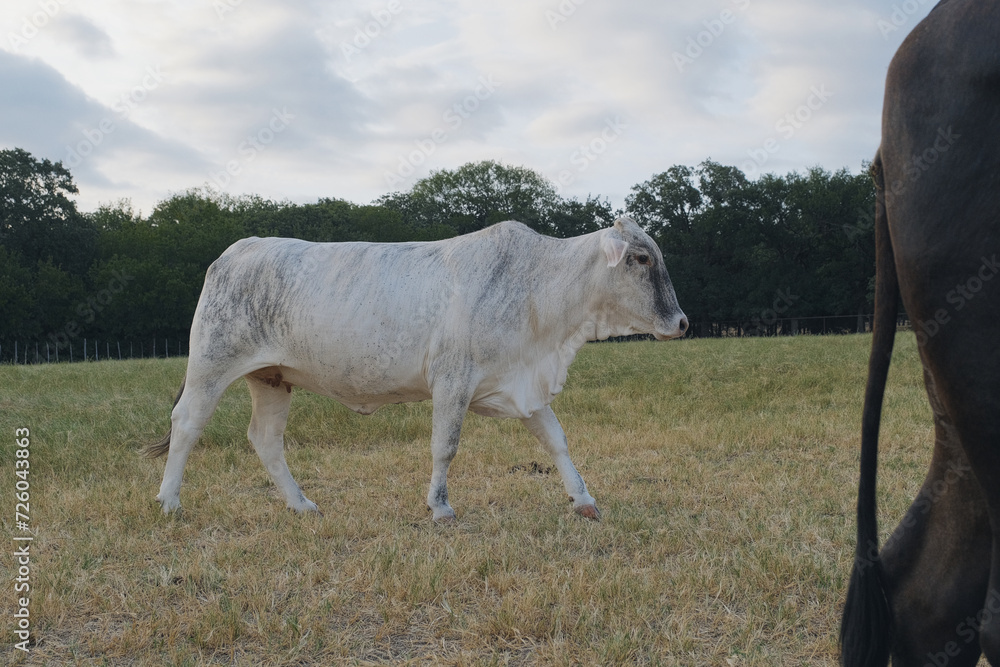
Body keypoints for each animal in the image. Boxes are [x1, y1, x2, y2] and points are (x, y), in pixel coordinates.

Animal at [144, 217, 688, 522]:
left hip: (272, 377)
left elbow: (557, 442)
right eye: (642, 258)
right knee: (187, 425)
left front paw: (583, 500)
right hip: (211, 363)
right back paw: (168, 503)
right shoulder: (452, 379)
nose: (682, 322)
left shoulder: (522, 384)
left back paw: (301, 505)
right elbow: (444, 446)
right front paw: (440, 506)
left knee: (265, 440)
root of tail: (237, 250)